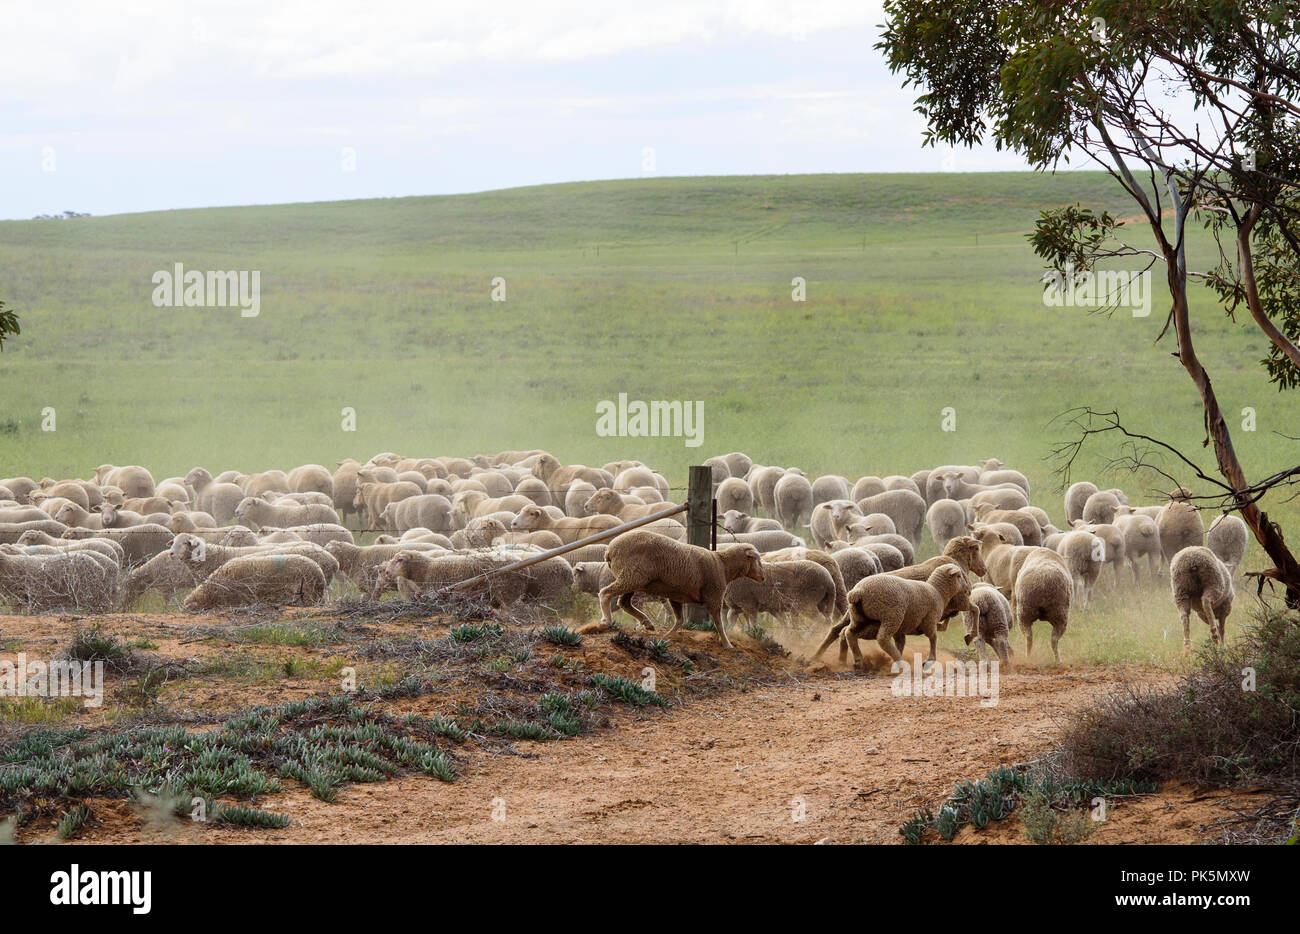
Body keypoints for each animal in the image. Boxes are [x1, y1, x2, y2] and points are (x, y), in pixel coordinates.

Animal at [597, 529, 765, 648]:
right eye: (757, 561)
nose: (763, 577)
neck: (723, 565)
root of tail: (609, 550)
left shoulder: (675, 596)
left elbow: (680, 620)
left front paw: (668, 636)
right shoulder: (714, 596)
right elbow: (719, 624)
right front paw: (727, 644)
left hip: (632, 578)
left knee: (624, 603)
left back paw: (647, 623)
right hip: (631, 576)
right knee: (605, 593)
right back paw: (607, 620)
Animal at [811, 564, 970, 670]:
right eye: (959, 576)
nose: (968, 590)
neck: (937, 591)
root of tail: (859, 591)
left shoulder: (901, 630)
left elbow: (901, 643)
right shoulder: (929, 622)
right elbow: (933, 639)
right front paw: (930, 660)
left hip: (861, 618)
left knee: (846, 632)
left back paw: (851, 659)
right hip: (892, 616)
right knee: (882, 638)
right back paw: (900, 662)